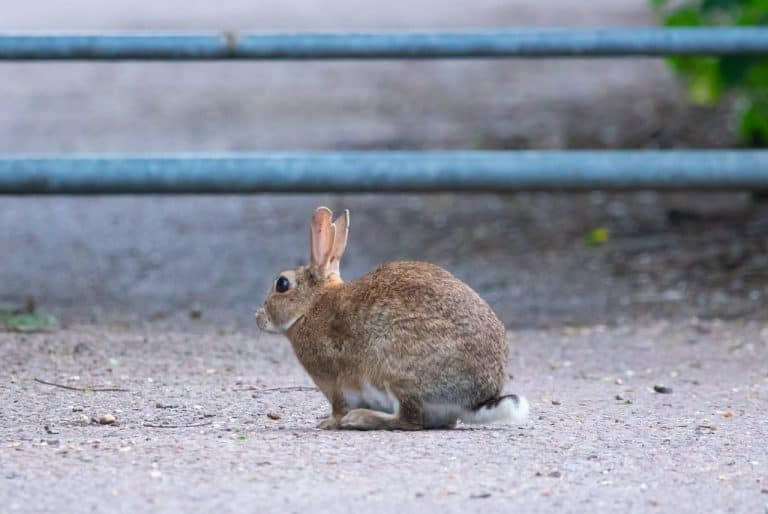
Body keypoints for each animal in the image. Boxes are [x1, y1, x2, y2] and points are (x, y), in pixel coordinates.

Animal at [255, 206, 528, 430]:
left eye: (282, 284)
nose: (259, 317)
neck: (310, 306)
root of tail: (475, 400)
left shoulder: (336, 382)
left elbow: (339, 406)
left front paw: (328, 423)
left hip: (395, 368)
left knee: (409, 419)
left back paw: (360, 419)